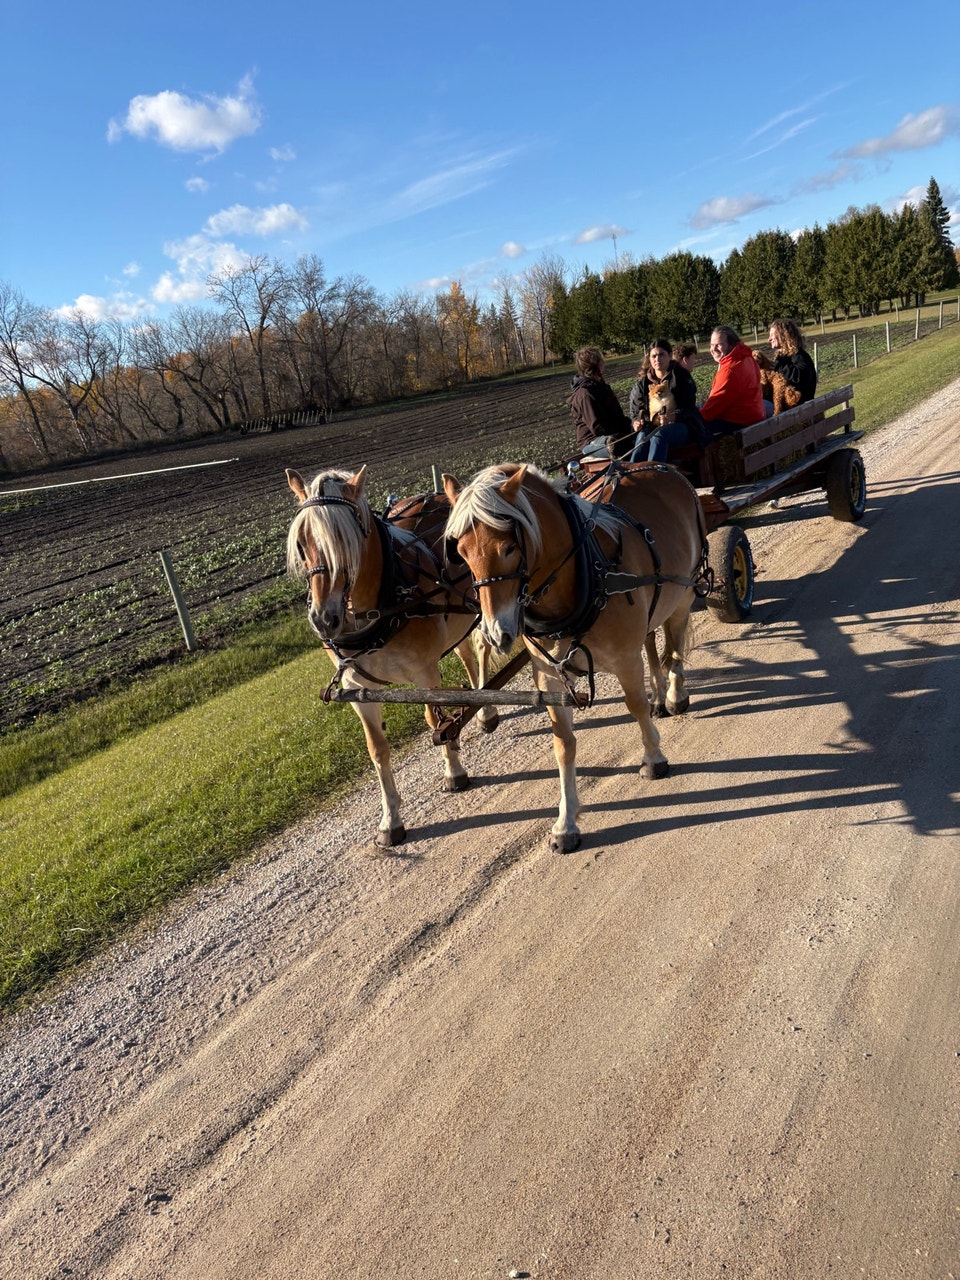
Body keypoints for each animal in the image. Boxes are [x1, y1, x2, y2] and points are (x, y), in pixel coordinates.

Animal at [286, 464, 497, 849]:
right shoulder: (358, 689)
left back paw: (487, 709)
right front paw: (390, 821)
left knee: (482, 648)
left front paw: (454, 771)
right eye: (301, 543)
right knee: (467, 654)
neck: (381, 606)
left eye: (345, 541)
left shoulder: (424, 673)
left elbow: (434, 722)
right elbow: (377, 749)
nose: (324, 619)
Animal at [443, 461, 709, 852]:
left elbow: (635, 706)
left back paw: (674, 695)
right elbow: (563, 744)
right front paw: (566, 822)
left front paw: (653, 758)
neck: (584, 578)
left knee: (674, 647)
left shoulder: (625, 658)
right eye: (461, 552)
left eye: (508, 547)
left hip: (684, 591)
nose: (494, 632)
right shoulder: (551, 676)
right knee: (651, 641)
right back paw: (661, 696)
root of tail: (659, 467)